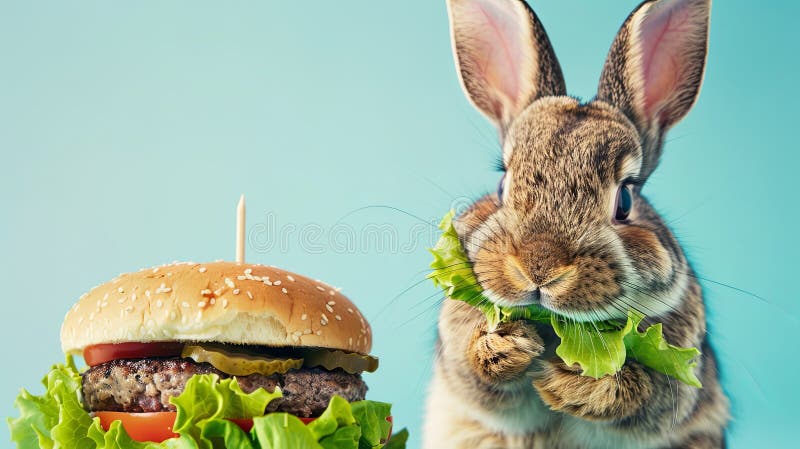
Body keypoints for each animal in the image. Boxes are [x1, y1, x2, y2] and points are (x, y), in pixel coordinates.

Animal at [423, 0, 730, 448]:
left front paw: (575, 381)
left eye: (625, 200)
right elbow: (478, 376)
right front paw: (505, 345)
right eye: (502, 183)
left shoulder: (679, 370)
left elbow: (643, 393)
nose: (539, 268)